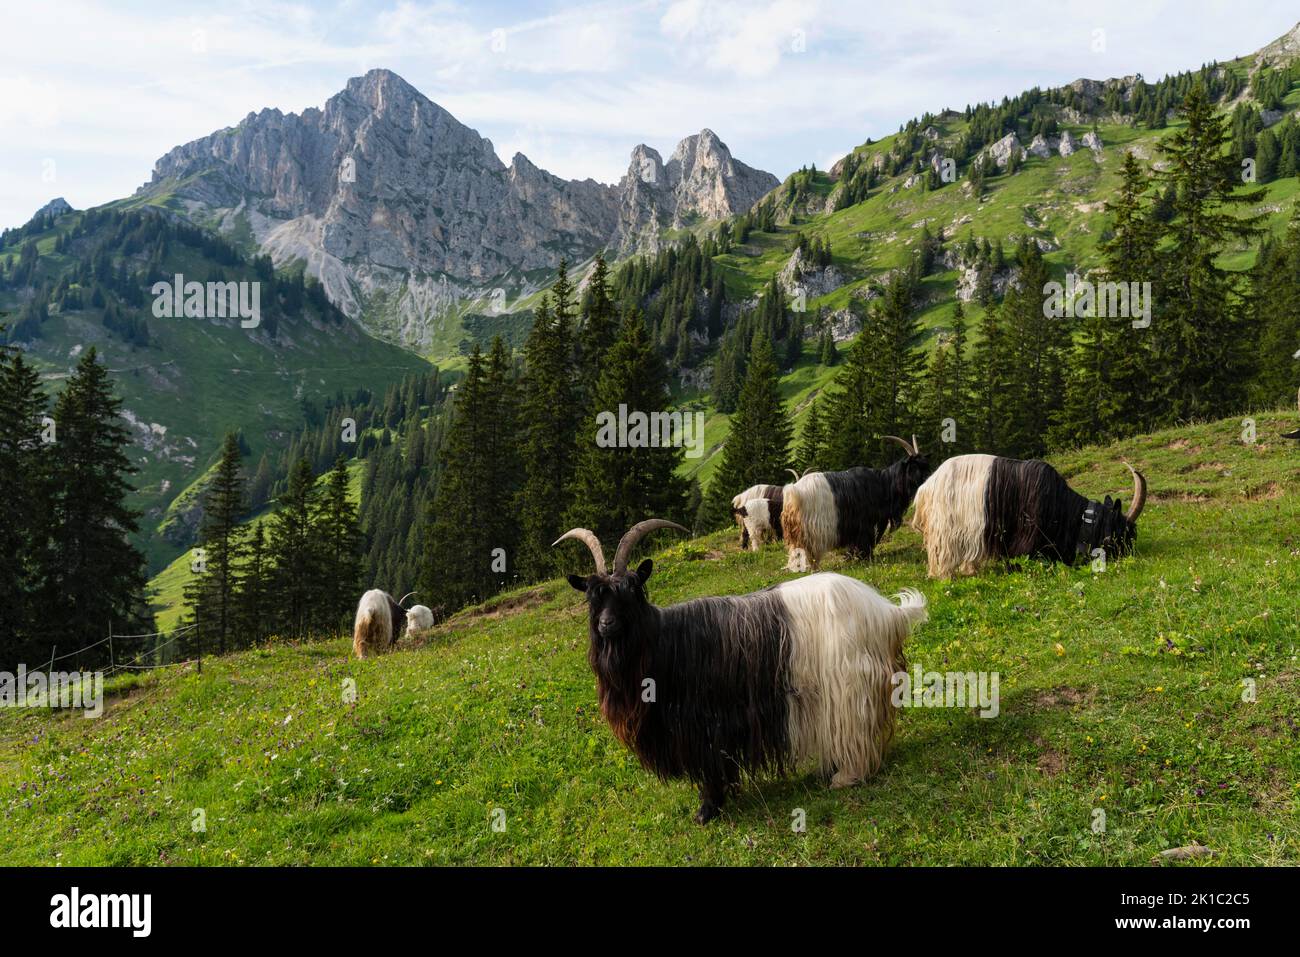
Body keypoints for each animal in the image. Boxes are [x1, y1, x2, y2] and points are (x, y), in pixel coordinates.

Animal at [555, 519, 928, 824]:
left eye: (631, 593)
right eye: (593, 597)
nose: (606, 625)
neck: (662, 642)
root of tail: (883, 612)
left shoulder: (703, 724)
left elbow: (710, 767)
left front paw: (708, 810)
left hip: (847, 685)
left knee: (856, 729)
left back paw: (846, 776)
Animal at [782, 437, 930, 572]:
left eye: (925, 464)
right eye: (914, 466)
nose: (928, 480)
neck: (884, 484)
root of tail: (793, 494)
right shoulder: (867, 524)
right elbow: (865, 542)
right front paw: (863, 558)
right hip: (814, 532)